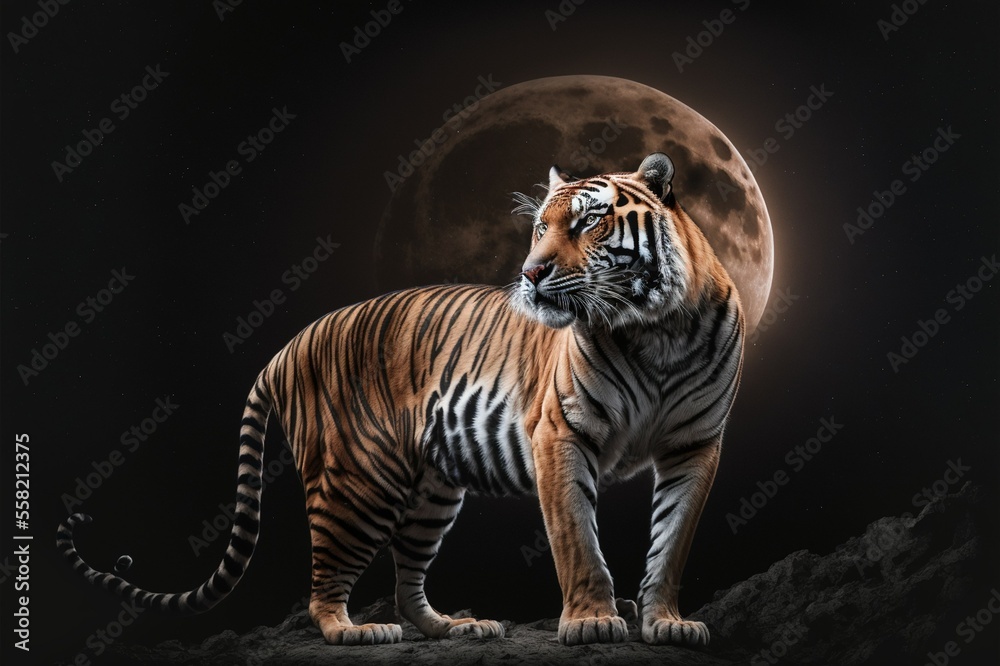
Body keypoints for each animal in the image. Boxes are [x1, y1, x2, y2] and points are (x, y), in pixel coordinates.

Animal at [58, 152, 744, 648]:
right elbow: (577, 538)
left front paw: (666, 622)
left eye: (587, 222)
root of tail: (291, 342)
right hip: (357, 481)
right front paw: (594, 620)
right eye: (538, 229)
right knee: (325, 581)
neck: (656, 330)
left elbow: (672, 541)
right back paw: (354, 632)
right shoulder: (562, 434)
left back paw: (458, 627)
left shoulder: (695, 446)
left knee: (407, 580)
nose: (530, 274)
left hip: (430, 491)